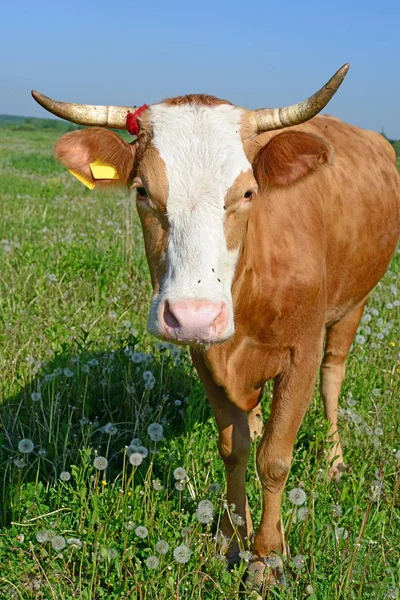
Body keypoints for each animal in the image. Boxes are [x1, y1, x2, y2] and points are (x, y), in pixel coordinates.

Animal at [32, 65, 400, 584]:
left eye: (247, 193)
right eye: (143, 190)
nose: (193, 314)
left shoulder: (302, 352)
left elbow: (275, 458)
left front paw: (266, 557)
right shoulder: (205, 356)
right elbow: (235, 448)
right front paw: (230, 539)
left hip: (355, 304)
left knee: (334, 375)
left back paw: (333, 460)